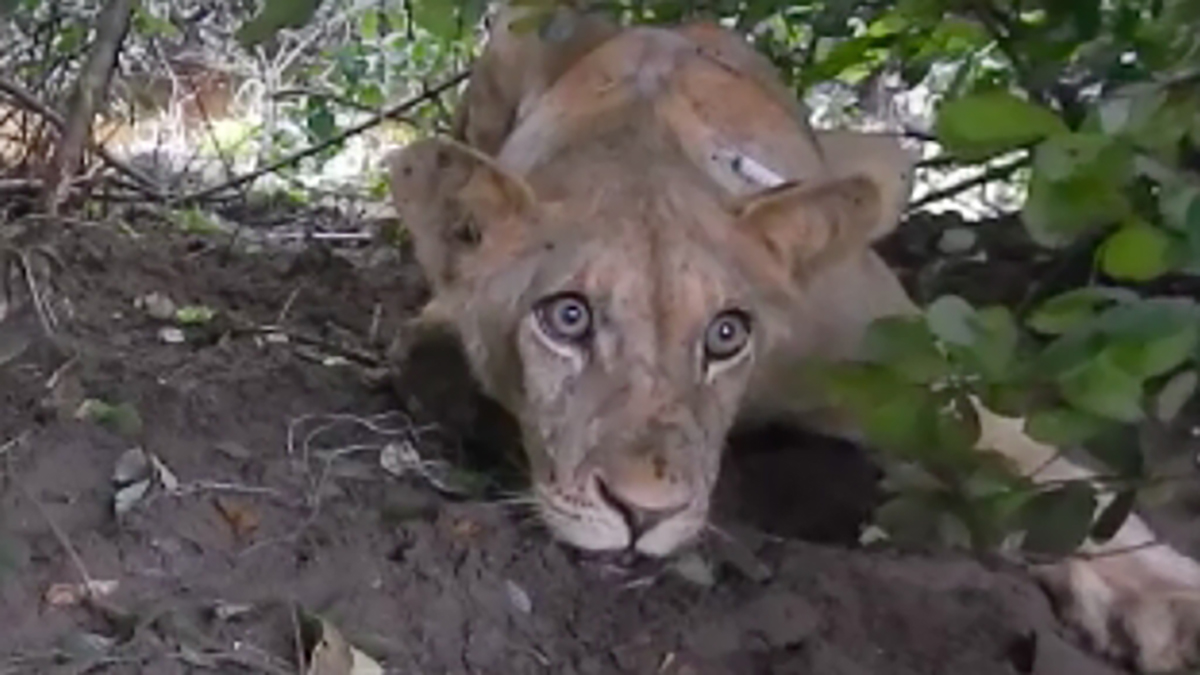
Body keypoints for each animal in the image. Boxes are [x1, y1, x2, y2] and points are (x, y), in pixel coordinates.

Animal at [385, 3, 1200, 671]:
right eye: (568, 317)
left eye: (725, 334)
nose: (645, 513)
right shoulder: (436, 325)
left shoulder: (902, 364)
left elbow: (1040, 462)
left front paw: (1172, 603)